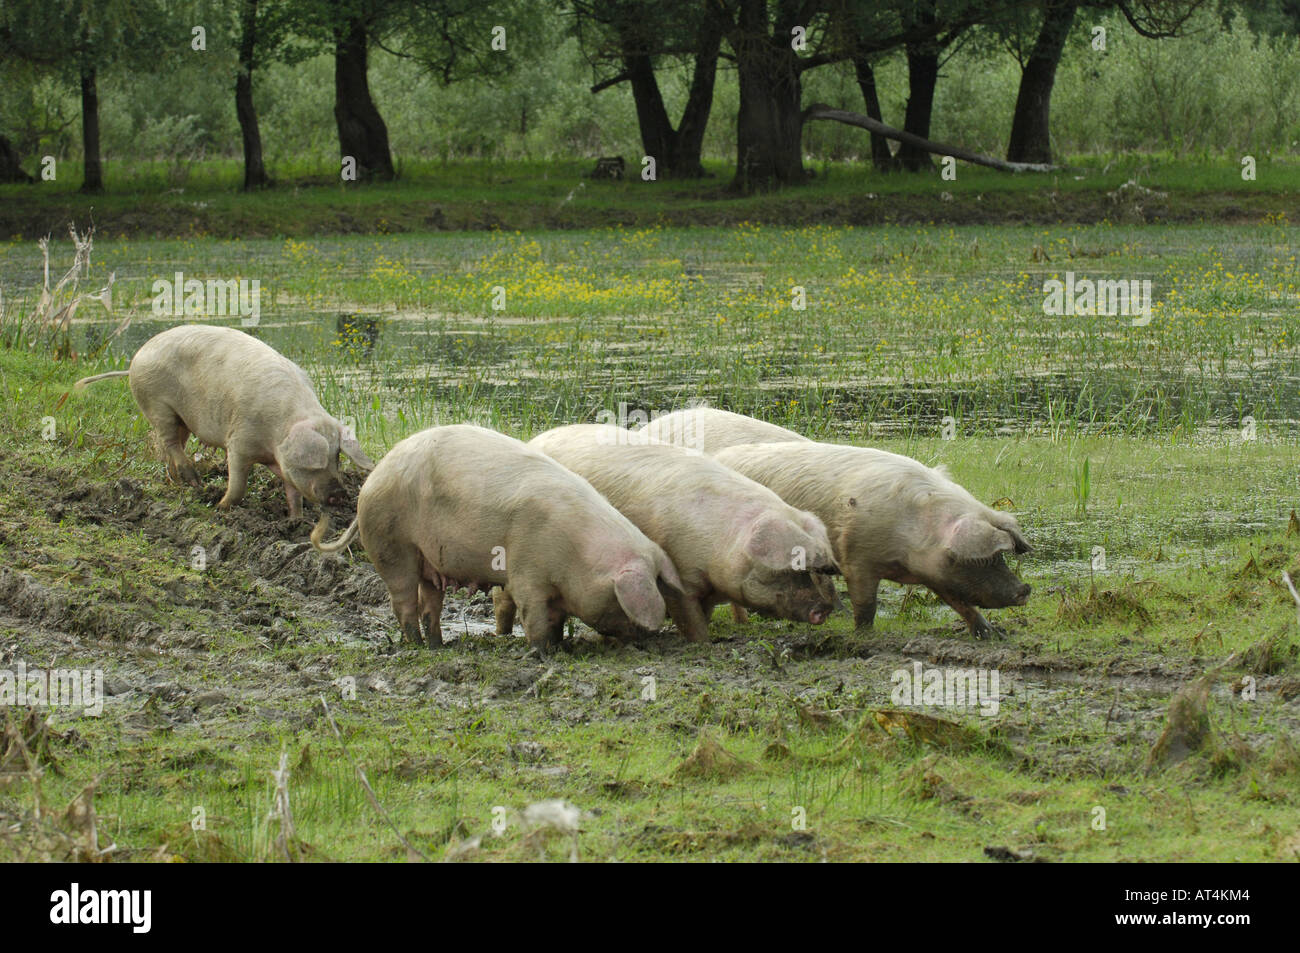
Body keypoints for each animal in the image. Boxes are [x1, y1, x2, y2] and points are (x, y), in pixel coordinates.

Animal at [74, 325, 373, 518]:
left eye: (337, 458)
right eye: (315, 463)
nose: (340, 493)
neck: (275, 439)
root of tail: (136, 357)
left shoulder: (281, 463)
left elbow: (293, 492)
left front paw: (295, 521)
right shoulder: (238, 441)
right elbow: (238, 484)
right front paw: (221, 508)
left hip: (179, 416)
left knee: (172, 445)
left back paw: (178, 483)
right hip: (157, 403)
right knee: (169, 441)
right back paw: (195, 482)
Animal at [311, 424, 683, 653]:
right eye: (621, 601)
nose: (645, 639)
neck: (577, 555)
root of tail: (373, 478)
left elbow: (557, 619)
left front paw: (560, 645)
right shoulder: (527, 573)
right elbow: (533, 615)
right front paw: (543, 652)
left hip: (428, 559)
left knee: (430, 603)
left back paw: (438, 645)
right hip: (391, 544)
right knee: (402, 601)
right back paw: (416, 645)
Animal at [525, 423, 840, 642]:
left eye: (817, 569)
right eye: (789, 568)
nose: (825, 609)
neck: (721, 542)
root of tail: (537, 439)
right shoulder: (679, 578)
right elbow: (691, 619)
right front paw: (702, 644)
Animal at [711, 442, 1031, 639]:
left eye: (1000, 557)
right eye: (985, 558)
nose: (1025, 590)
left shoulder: (936, 573)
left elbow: (960, 603)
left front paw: (994, 635)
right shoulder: (855, 557)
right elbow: (866, 605)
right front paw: (865, 635)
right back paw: (744, 624)